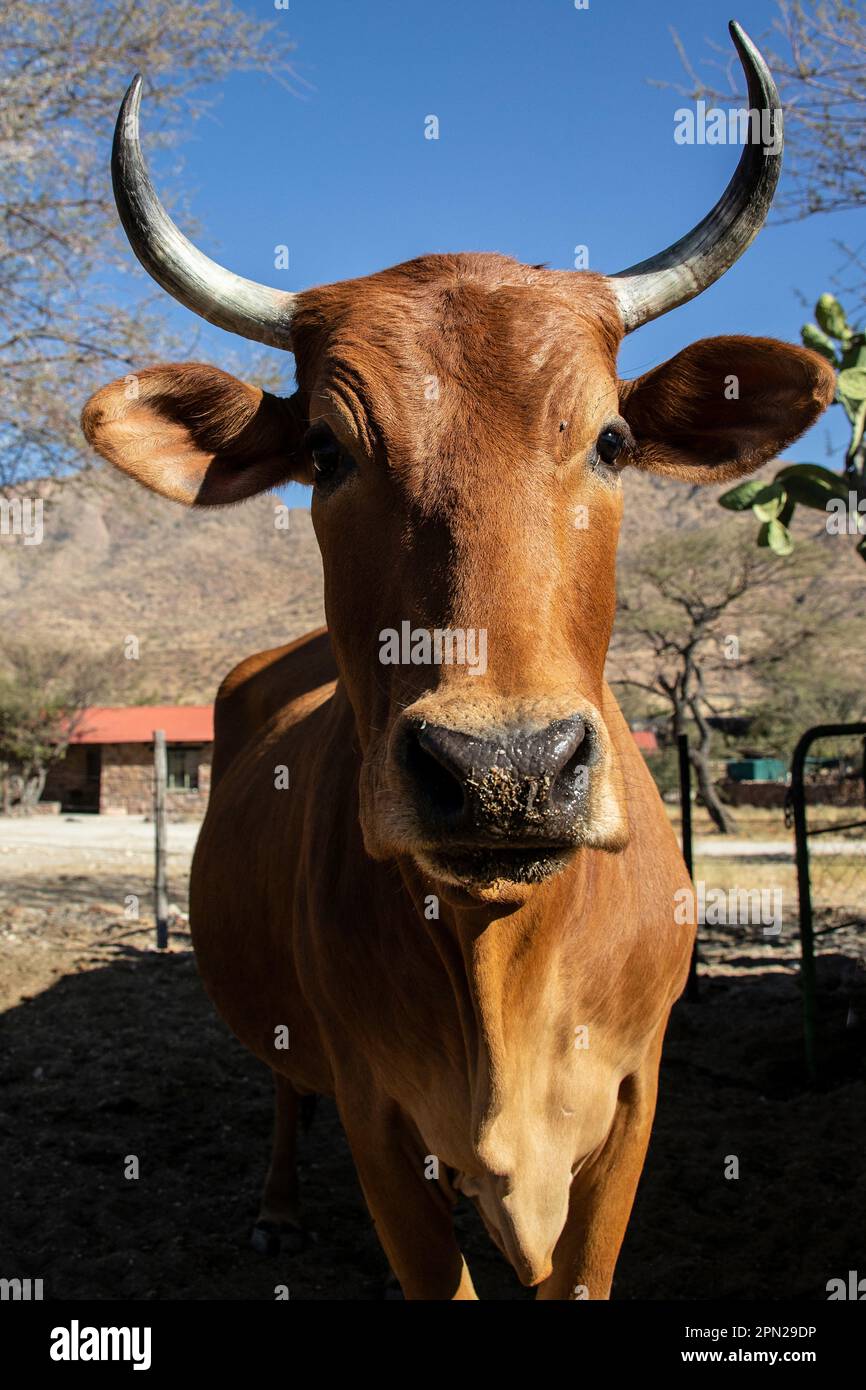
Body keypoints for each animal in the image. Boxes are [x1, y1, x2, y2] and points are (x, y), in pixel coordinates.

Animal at [81, 22, 834, 1299]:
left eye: (611, 440)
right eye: (325, 451)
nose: (504, 771)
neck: (502, 962)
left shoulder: (629, 1108)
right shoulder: (382, 1128)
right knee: (280, 1091)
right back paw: (277, 1207)